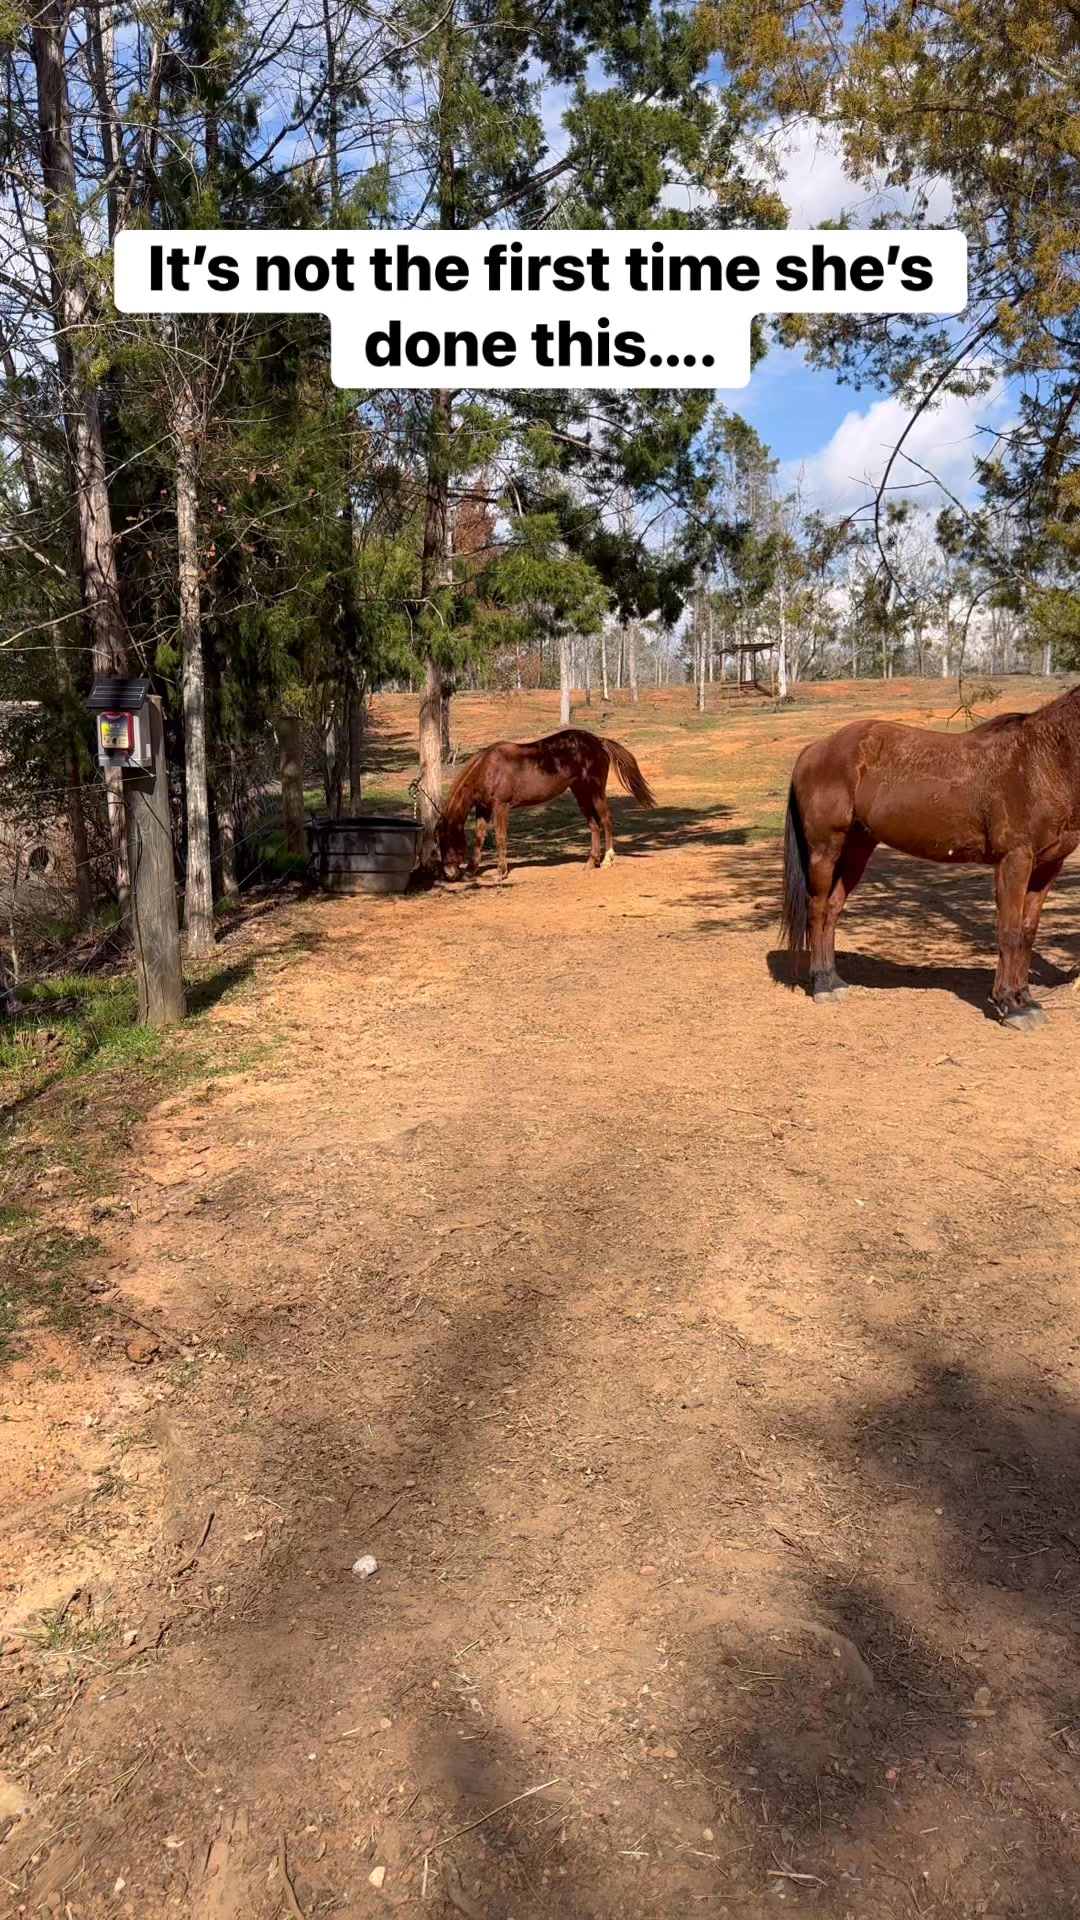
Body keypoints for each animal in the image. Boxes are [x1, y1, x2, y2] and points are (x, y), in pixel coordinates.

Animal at [437, 727, 657, 880]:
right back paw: (590, 862)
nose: (449, 873)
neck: (488, 768)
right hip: (581, 794)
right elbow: (480, 837)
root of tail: (598, 741)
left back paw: (607, 860)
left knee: (606, 819)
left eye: (446, 839)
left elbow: (500, 837)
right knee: (594, 825)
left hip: (595, 791)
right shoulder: (484, 808)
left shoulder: (501, 807)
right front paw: (472, 870)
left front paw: (500, 872)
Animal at [780, 685, 1080, 1031]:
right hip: (825, 850)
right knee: (816, 909)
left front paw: (1026, 1001)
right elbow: (1010, 931)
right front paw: (1009, 1005)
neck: (1041, 763)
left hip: (857, 851)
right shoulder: (1013, 861)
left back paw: (834, 980)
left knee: (832, 909)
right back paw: (821, 984)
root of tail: (816, 748)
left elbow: (1027, 933)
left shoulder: (1047, 867)